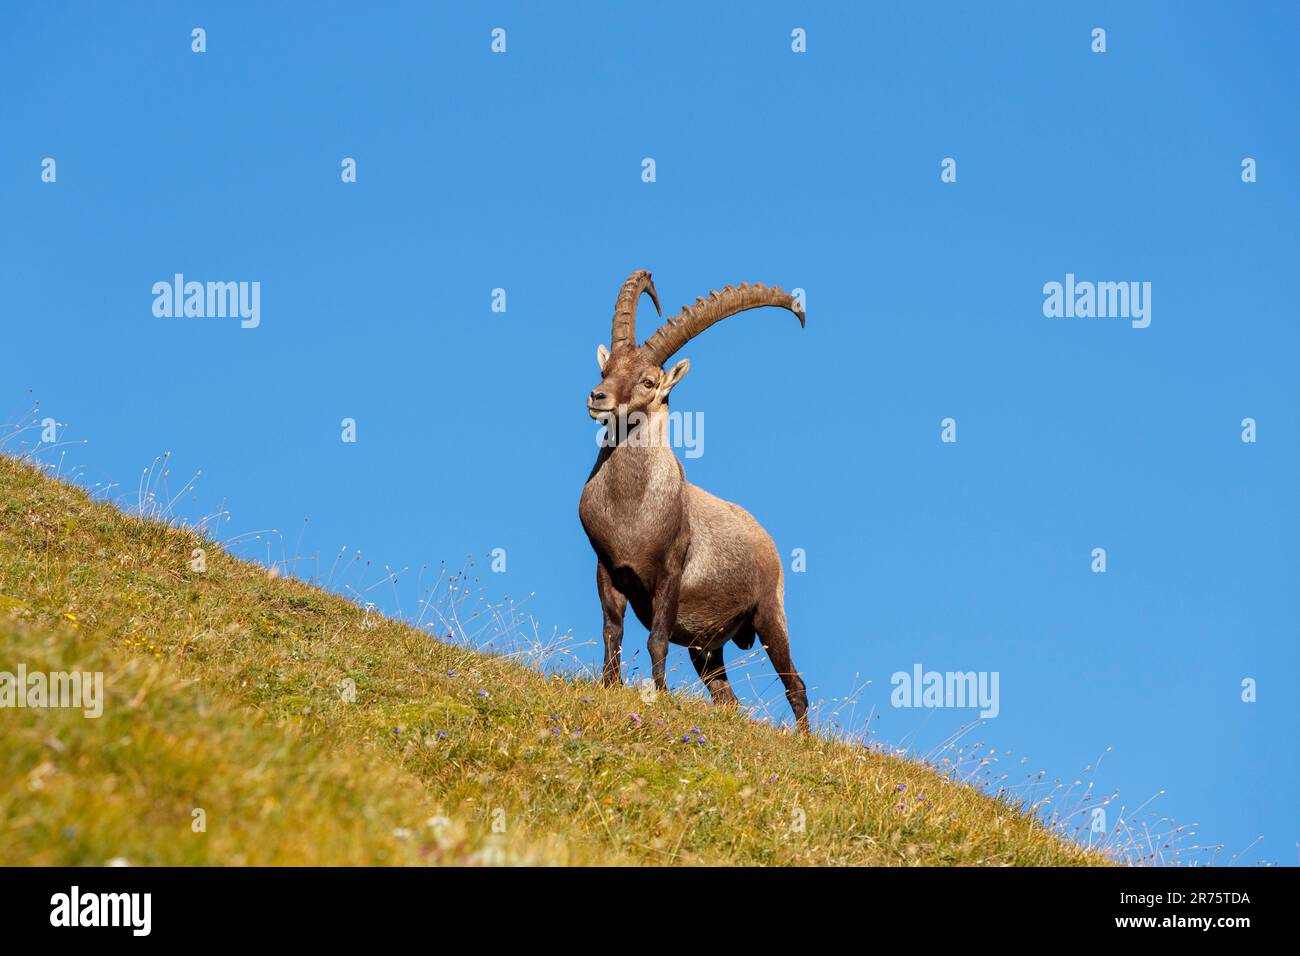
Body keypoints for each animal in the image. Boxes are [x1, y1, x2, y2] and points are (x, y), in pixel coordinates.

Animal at [578, 270, 809, 729]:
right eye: (606, 368)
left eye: (648, 381)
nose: (598, 397)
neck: (631, 509)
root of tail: (765, 538)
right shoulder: (607, 566)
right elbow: (613, 630)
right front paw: (609, 686)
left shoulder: (671, 569)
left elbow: (657, 639)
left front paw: (660, 695)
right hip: (708, 648)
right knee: (726, 697)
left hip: (770, 615)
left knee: (797, 687)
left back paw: (806, 737)